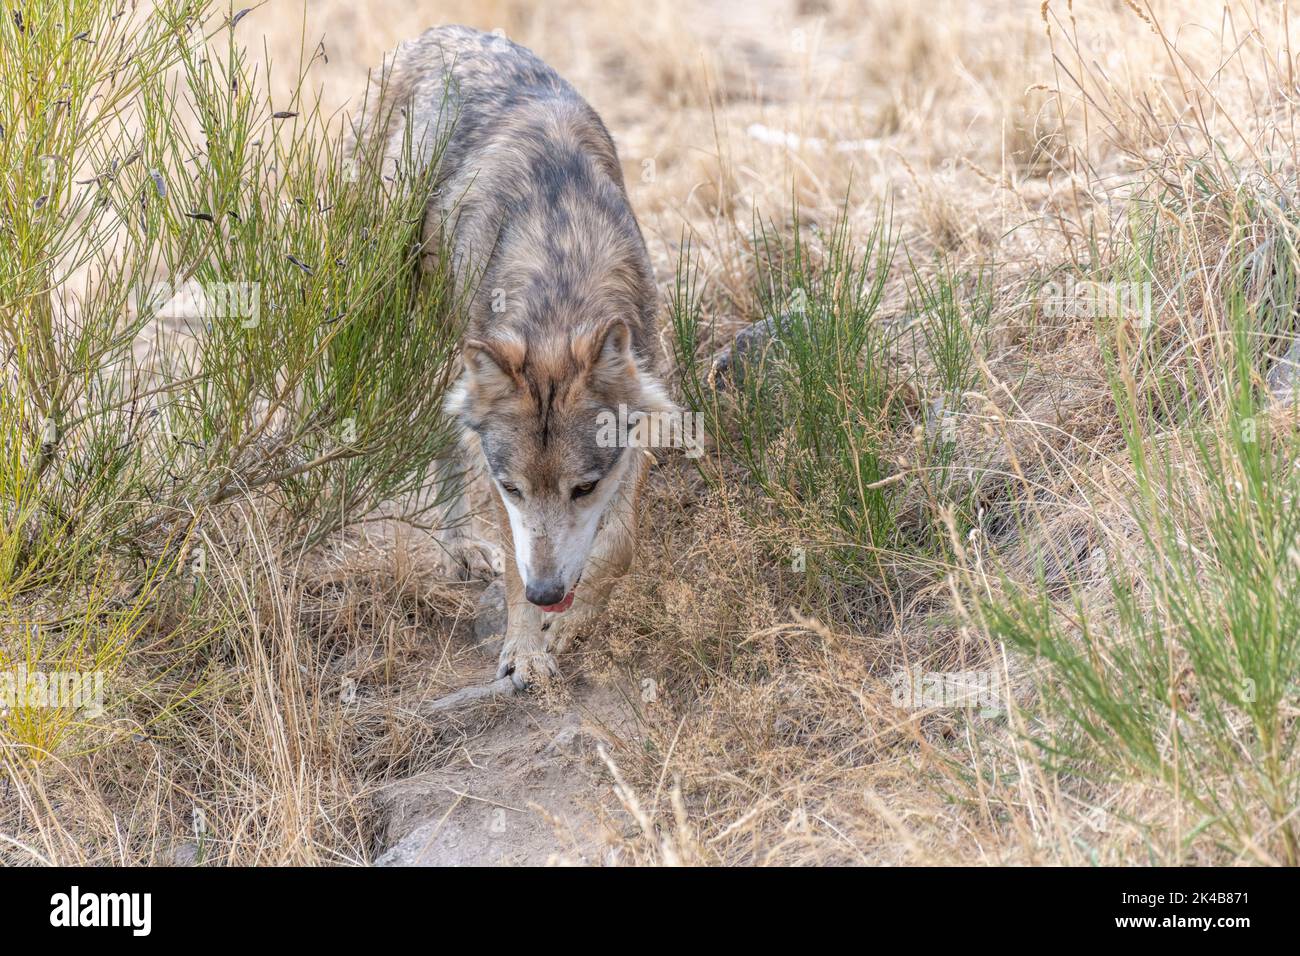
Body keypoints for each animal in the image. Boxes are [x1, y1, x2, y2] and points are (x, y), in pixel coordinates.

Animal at [350, 26, 675, 688]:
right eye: (513, 488)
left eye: (583, 489)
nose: (547, 592)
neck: (563, 262)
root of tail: (431, 34)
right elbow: (512, 566)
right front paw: (525, 649)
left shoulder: (639, 414)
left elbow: (621, 544)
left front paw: (569, 627)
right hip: (420, 327)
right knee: (433, 431)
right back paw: (458, 547)